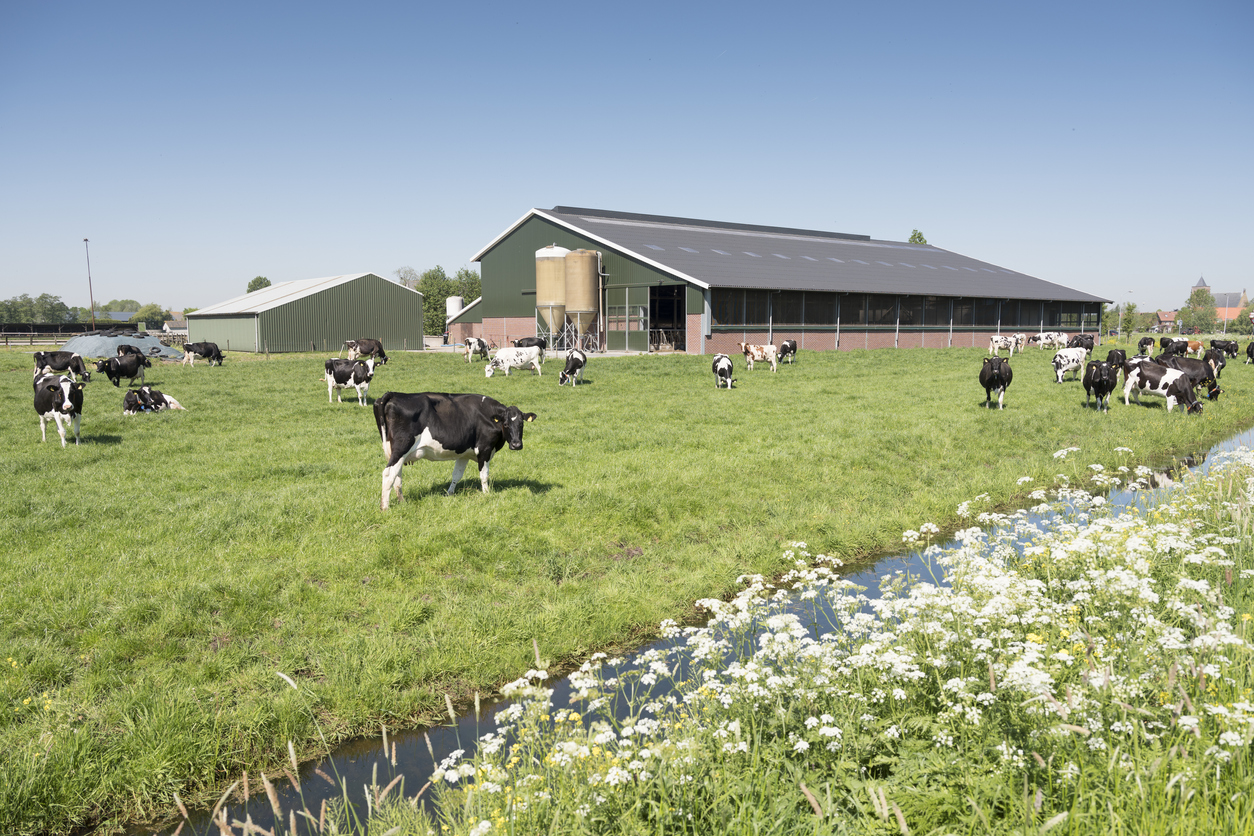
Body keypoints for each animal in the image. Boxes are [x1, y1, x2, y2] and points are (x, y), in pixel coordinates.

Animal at [366, 393, 534, 511]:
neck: (488, 415)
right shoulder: (484, 449)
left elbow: (456, 475)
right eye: (506, 424)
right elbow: (484, 475)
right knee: (388, 474)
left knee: (397, 475)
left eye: (521, 424)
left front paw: (449, 493)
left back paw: (402, 501)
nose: (516, 444)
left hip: (397, 452)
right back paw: (385, 507)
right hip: (401, 447)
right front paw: (487, 494)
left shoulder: (464, 453)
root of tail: (394, 394)